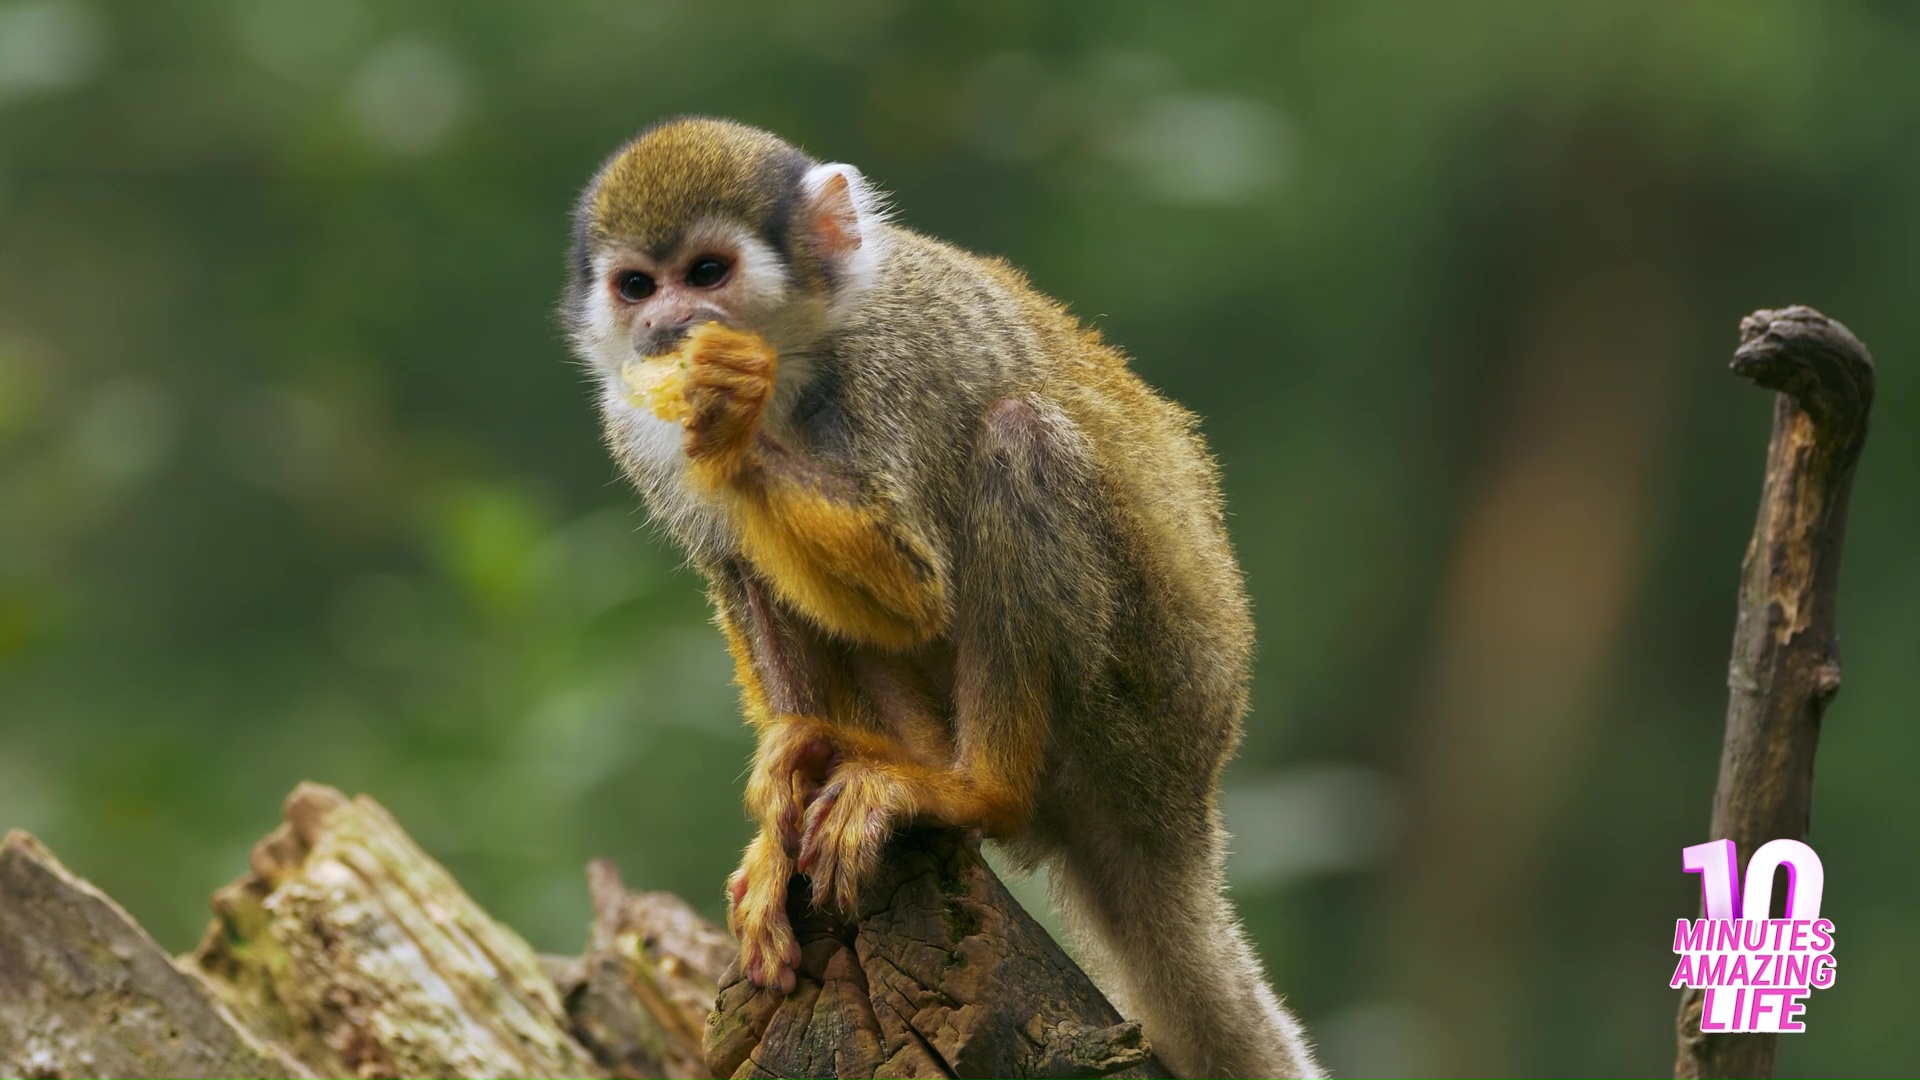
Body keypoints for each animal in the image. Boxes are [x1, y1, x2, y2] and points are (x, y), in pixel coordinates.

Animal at [561, 117, 1325, 1080]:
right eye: (636, 285)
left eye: (706, 272)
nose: (665, 323)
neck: (796, 357)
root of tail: (1184, 815)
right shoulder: (633, 422)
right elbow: (737, 564)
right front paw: (782, 807)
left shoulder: (890, 369)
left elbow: (912, 591)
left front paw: (731, 415)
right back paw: (849, 751)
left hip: (1133, 716)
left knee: (1020, 440)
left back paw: (972, 790)